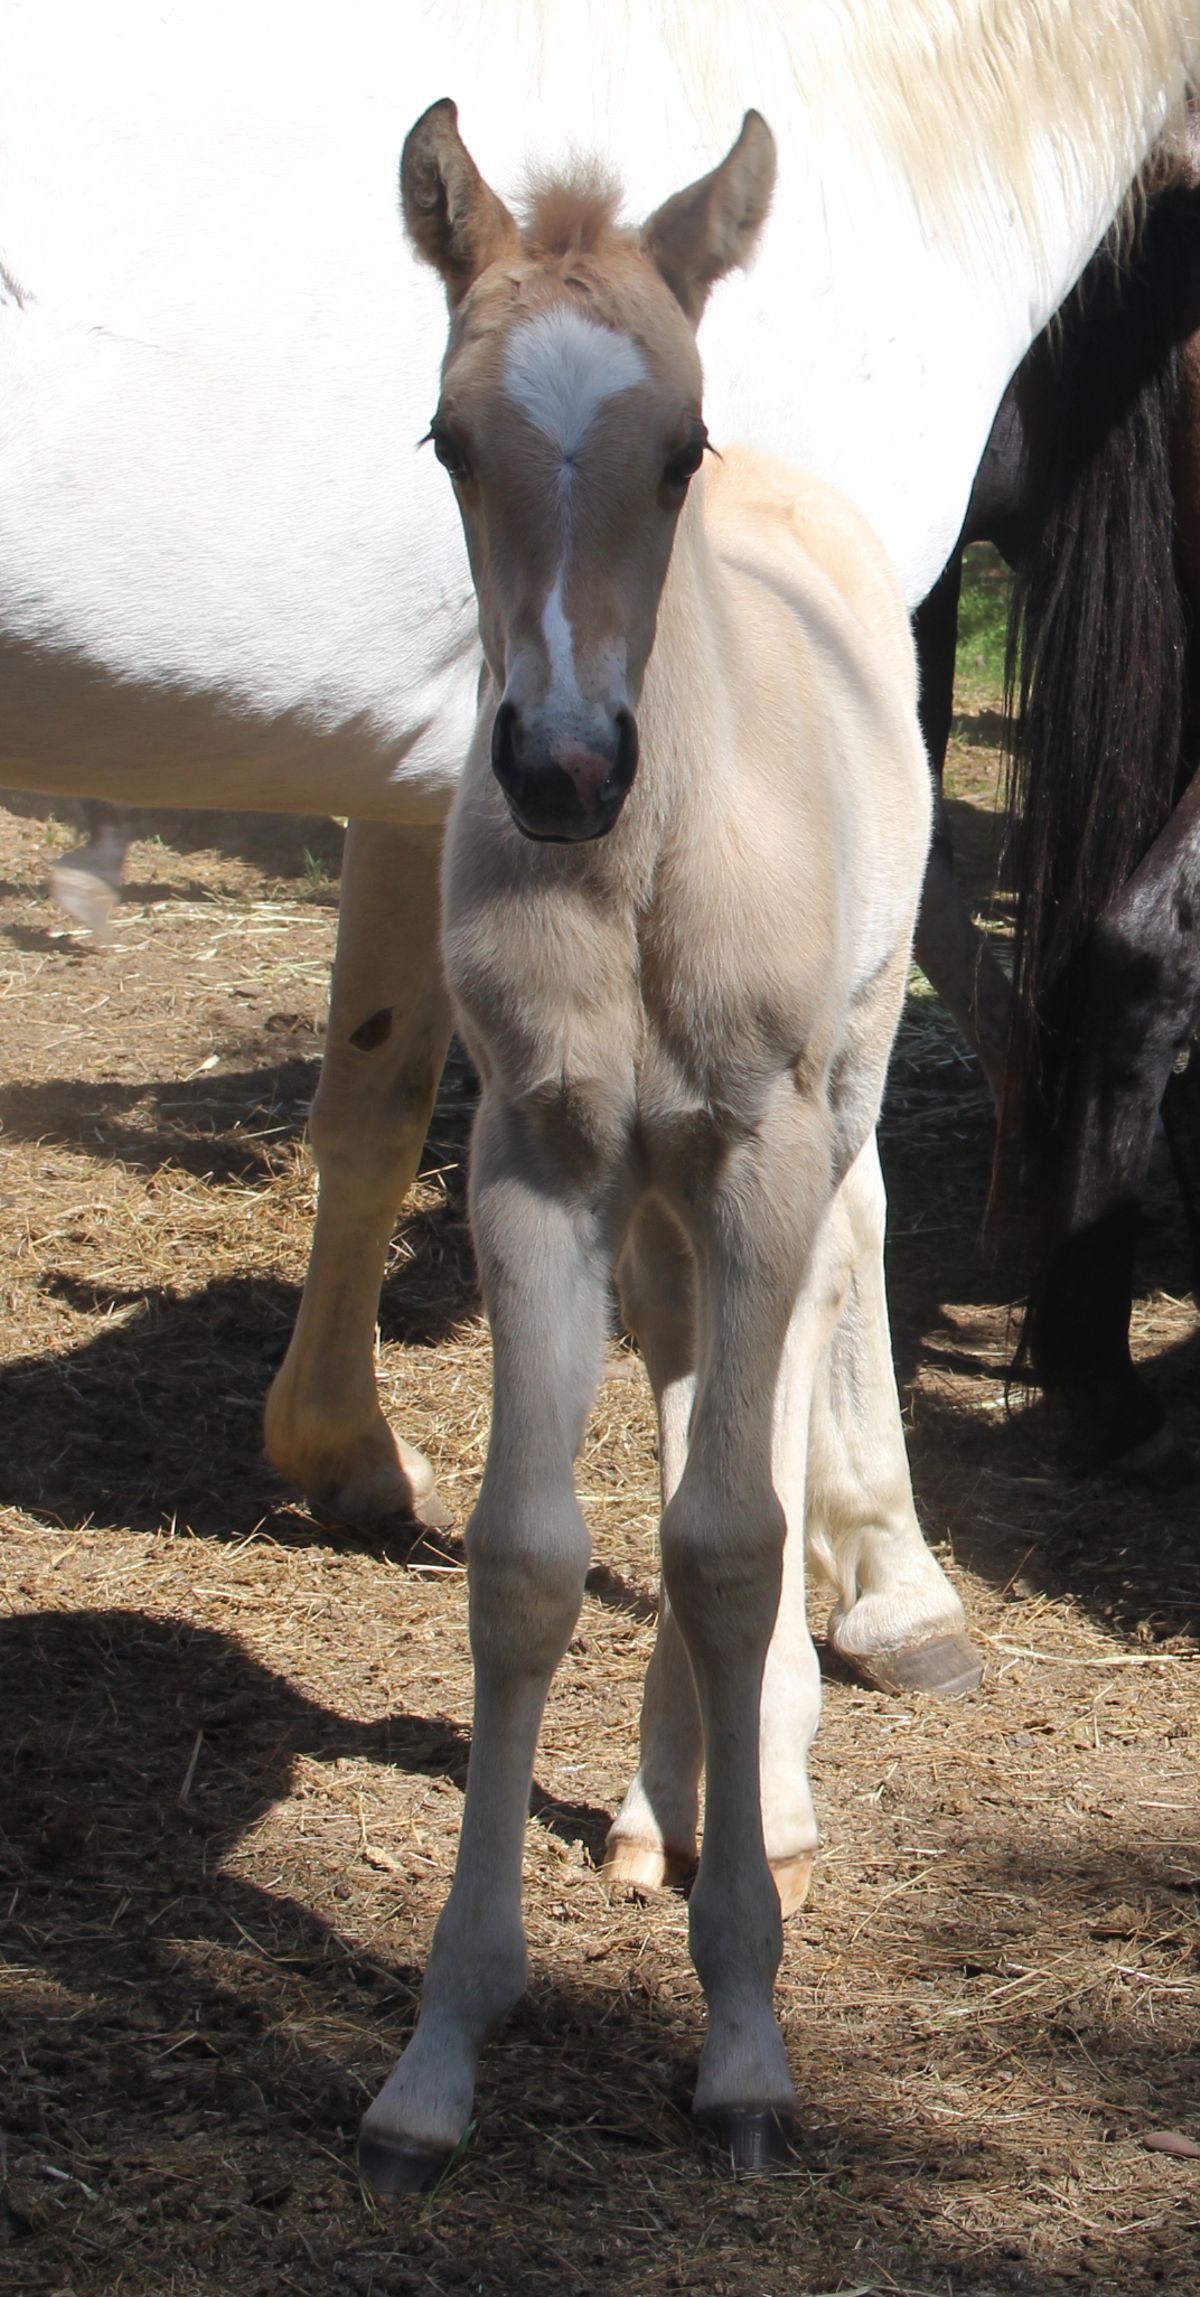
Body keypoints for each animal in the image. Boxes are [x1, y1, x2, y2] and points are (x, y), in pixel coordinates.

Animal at [358, 100, 935, 2191]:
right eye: (450, 439)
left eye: (673, 447)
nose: (558, 768)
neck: (643, 863)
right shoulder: (540, 1161)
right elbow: (532, 1558)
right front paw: (443, 2047)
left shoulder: (756, 1142)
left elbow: (737, 1534)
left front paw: (747, 2039)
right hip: (670, 1195)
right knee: (694, 1391)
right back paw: (652, 1798)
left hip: (826, 1103)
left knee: (773, 1404)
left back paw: (762, 1784)